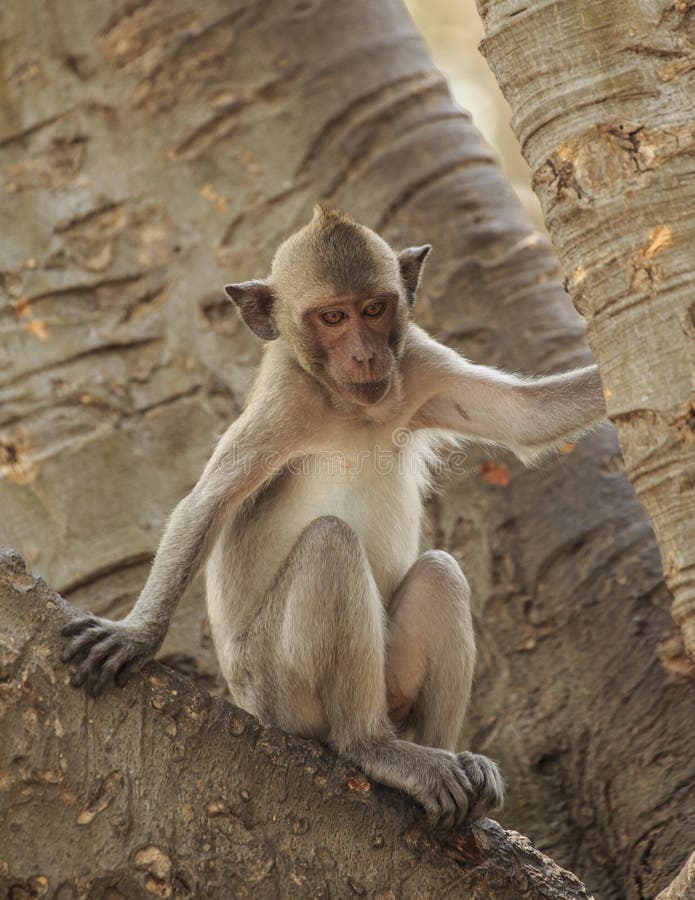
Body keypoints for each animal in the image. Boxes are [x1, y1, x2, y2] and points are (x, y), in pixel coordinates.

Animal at [61, 205, 606, 830]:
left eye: (374, 308)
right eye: (332, 317)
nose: (365, 355)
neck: (351, 405)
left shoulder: (418, 362)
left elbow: (529, 419)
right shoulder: (286, 402)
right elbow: (206, 506)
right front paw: (136, 634)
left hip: (388, 676)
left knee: (439, 571)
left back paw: (451, 761)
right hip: (280, 691)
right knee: (331, 544)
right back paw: (371, 747)